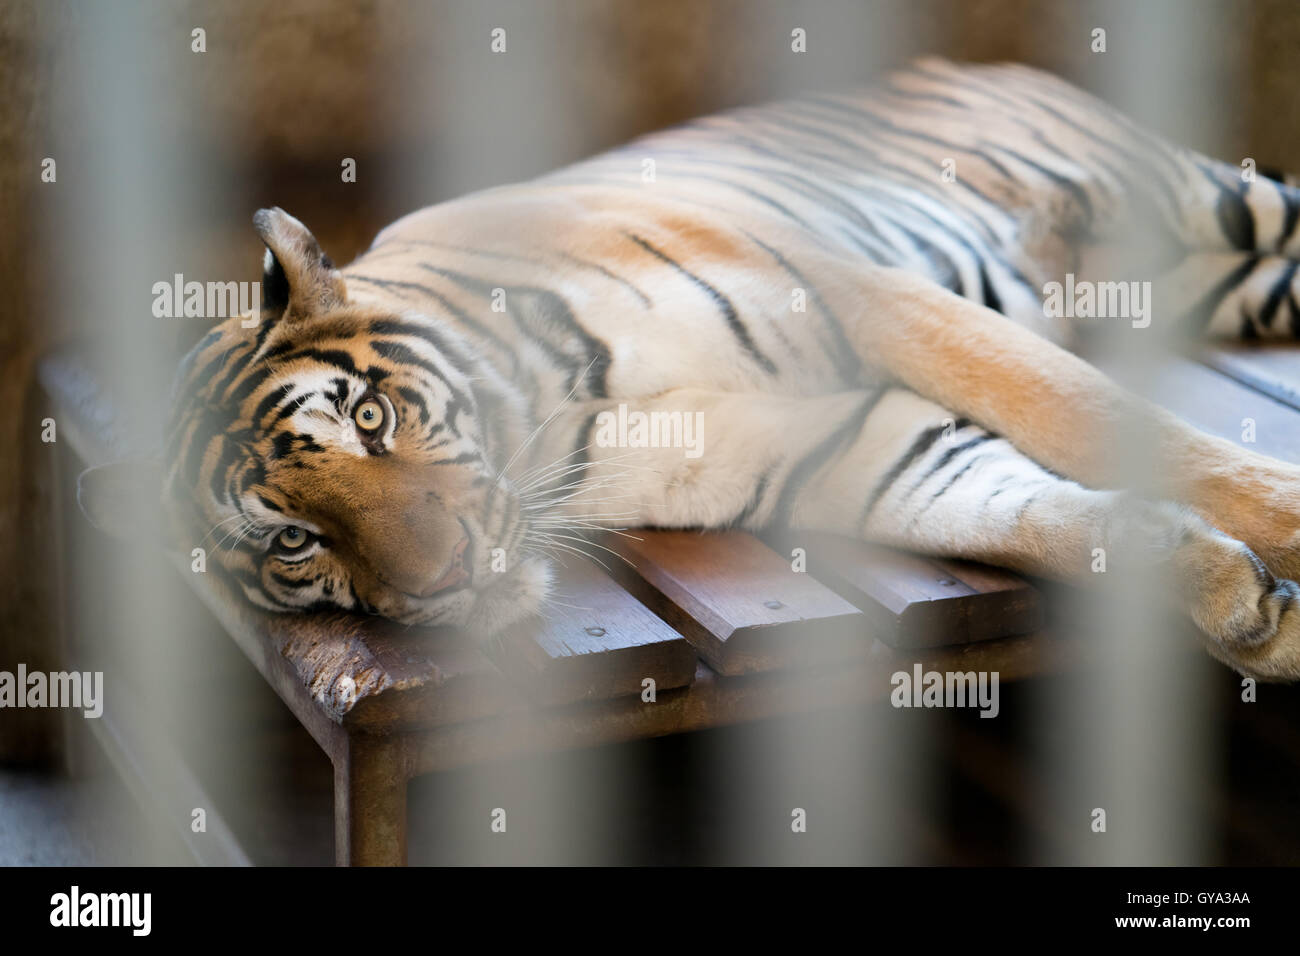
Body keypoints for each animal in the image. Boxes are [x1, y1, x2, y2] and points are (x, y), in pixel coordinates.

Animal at [80, 57, 1300, 680]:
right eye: (293, 538)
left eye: (369, 418)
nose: (445, 578)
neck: (556, 420)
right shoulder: (825, 447)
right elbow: (1019, 511)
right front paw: (1243, 605)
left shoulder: (864, 298)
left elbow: (1077, 409)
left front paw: (1277, 524)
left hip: (1204, 197)